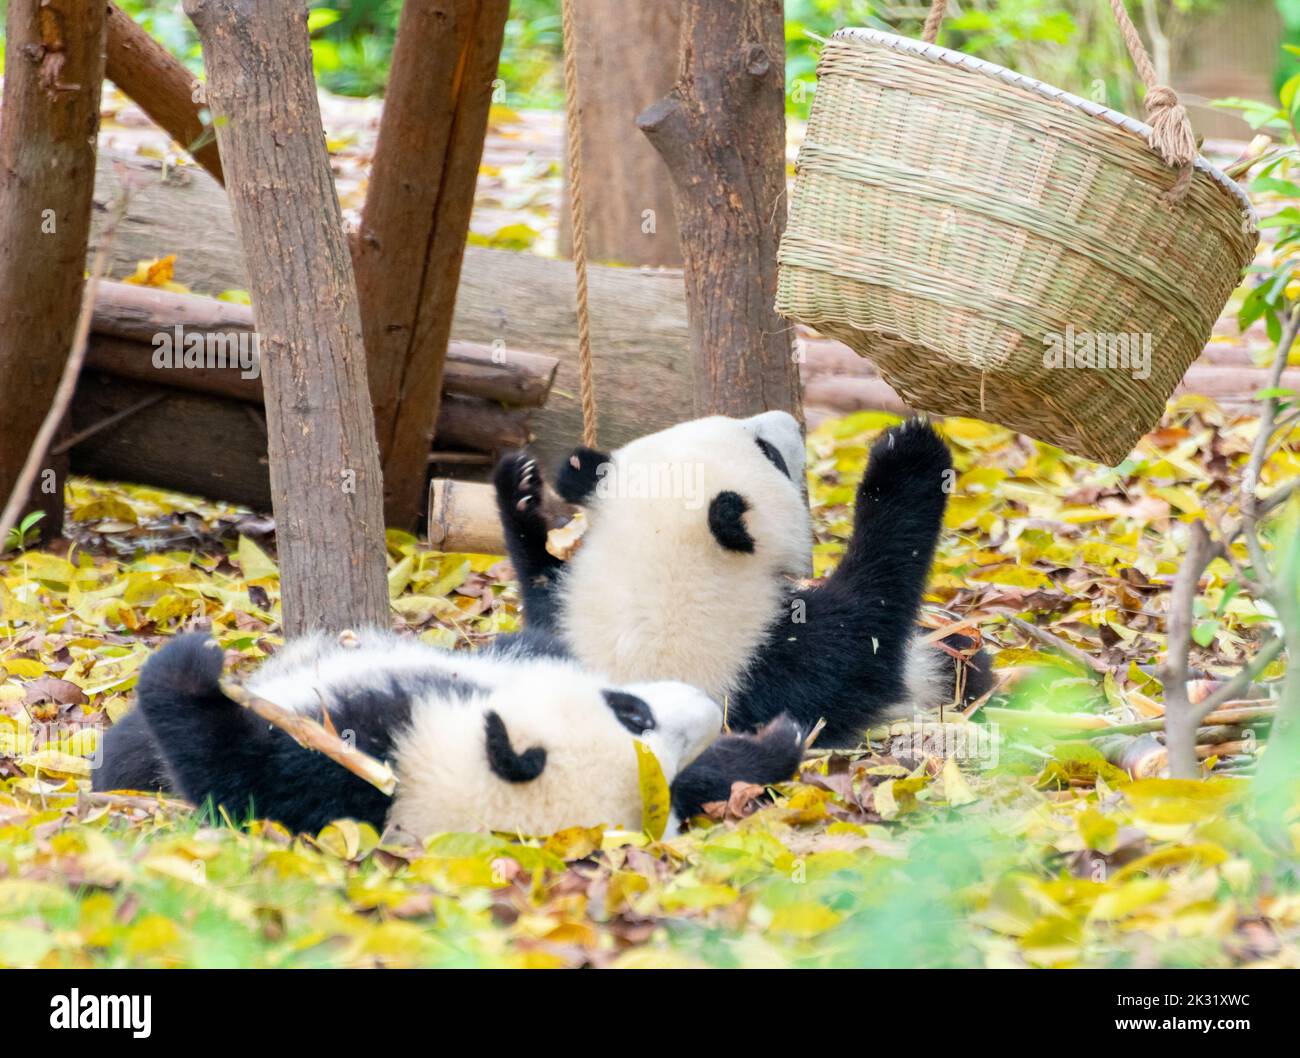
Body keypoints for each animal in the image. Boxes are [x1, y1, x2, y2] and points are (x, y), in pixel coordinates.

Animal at [93, 630, 805, 837]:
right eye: (633, 712)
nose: (707, 706)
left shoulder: (351, 769)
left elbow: (233, 772)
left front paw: (190, 667)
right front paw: (777, 744)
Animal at [493, 413, 991, 768]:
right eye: (768, 452)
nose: (791, 420)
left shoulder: (566, 631)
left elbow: (543, 591)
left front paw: (521, 489)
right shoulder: (769, 665)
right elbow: (873, 626)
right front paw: (907, 454)